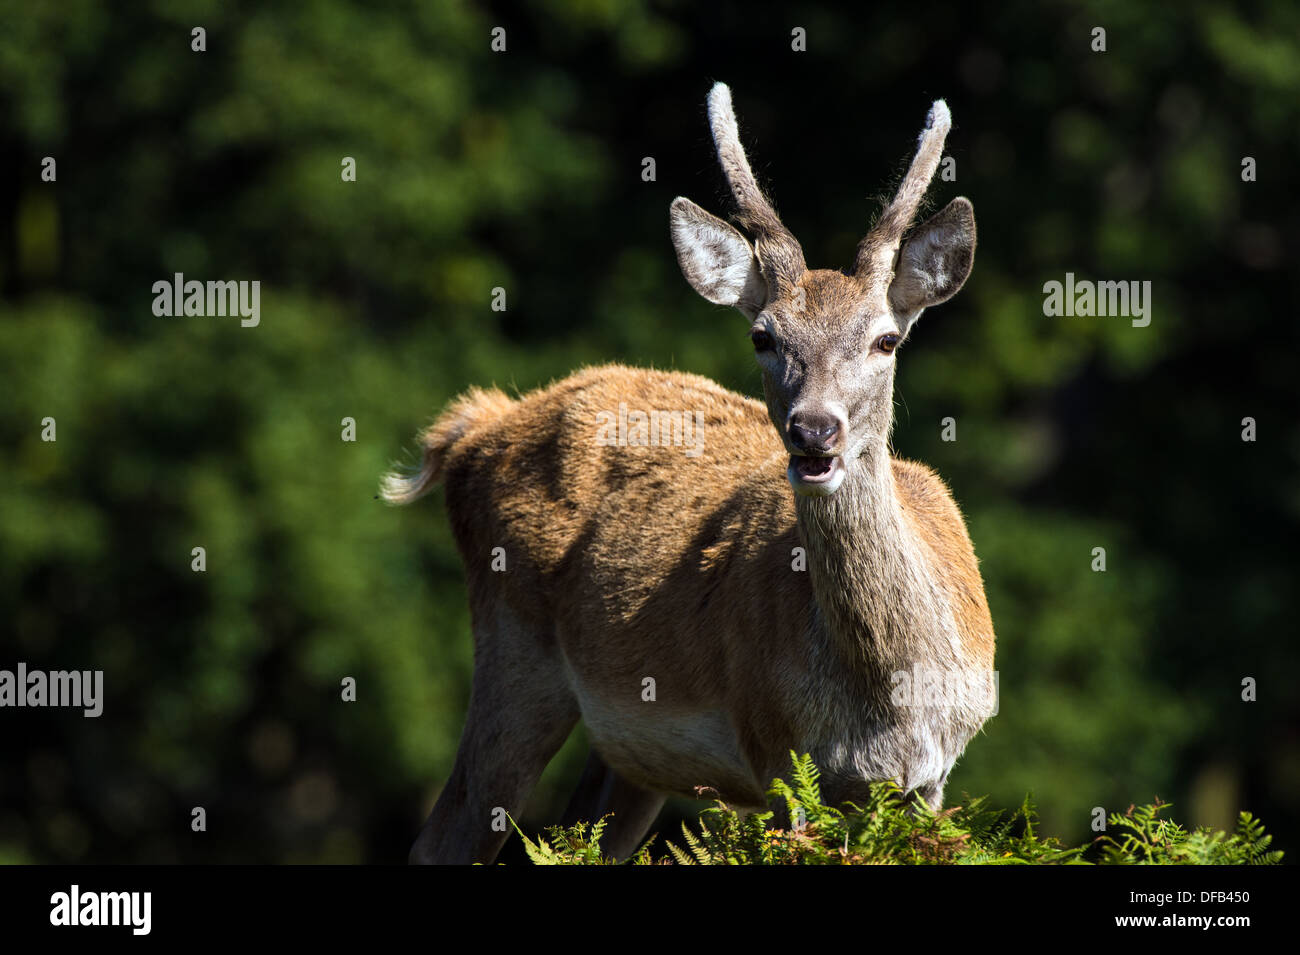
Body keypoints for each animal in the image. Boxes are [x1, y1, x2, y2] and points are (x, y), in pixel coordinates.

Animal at [383, 83, 996, 865]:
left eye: (886, 340)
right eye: (764, 335)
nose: (814, 430)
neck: (890, 695)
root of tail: (473, 426)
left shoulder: (932, 779)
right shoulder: (775, 752)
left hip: (628, 753)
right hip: (511, 647)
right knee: (444, 834)